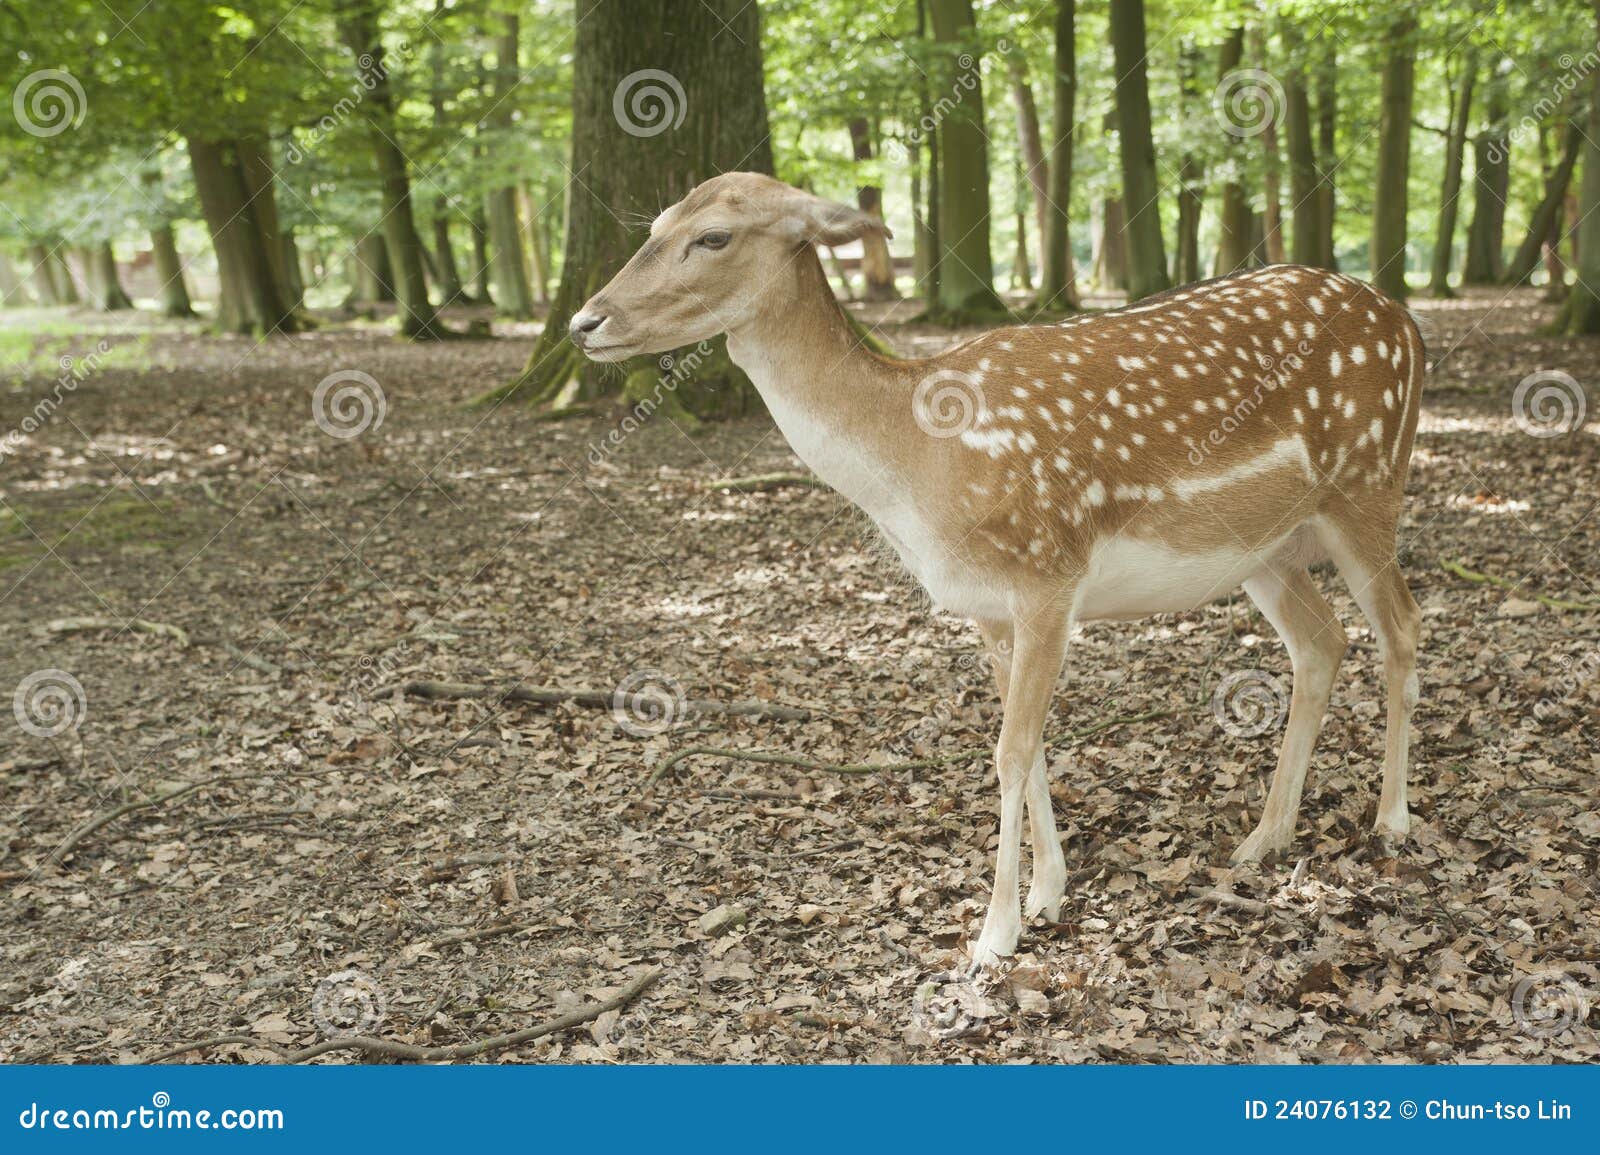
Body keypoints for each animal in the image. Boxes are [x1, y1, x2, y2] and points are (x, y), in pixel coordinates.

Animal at [570, 173, 1424, 968]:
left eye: (713, 235)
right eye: (655, 223)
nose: (585, 322)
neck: (917, 460)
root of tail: (1406, 320)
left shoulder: (1049, 570)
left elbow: (1010, 750)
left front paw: (995, 934)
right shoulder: (984, 603)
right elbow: (1030, 742)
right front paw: (1048, 892)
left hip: (1368, 487)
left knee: (1403, 628)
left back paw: (1391, 820)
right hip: (1267, 547)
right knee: (1322, 642)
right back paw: (1265, 836)